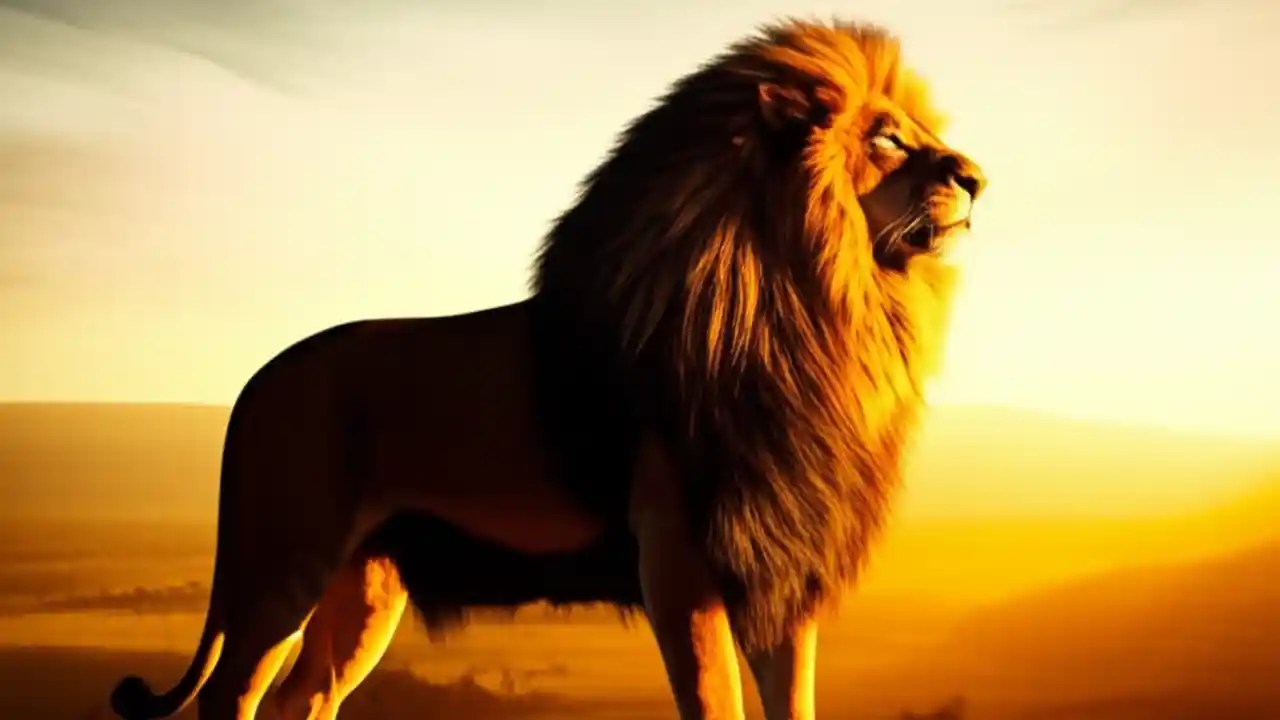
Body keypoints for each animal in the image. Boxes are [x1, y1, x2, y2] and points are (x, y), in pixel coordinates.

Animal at [109, 18, 985, 720]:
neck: (822, 304)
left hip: (363, 587)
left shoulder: (783, 567)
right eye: (888, 139)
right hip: (281, 562)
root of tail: (259, 380)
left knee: (305, 697)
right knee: (233, 694)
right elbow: (715, 702)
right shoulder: (679, 563)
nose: (977, 178)